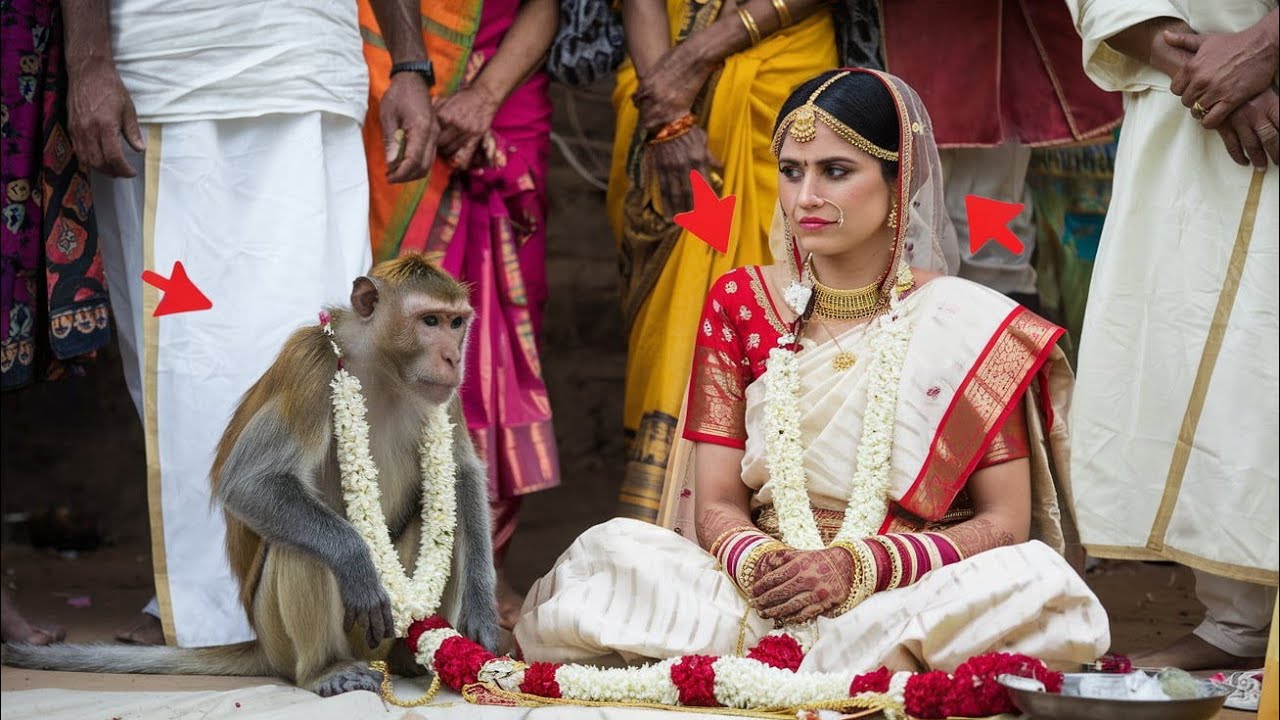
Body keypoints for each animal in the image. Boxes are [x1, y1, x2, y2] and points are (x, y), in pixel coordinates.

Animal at [2, 255, 500, 697]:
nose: (453, 358)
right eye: (430, 321)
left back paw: (415, 660)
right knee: (305, 548)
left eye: (456, 323)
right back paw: (325, 668)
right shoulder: (312, 365)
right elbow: (250, 483)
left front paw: (483, 610)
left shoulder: (445, 395)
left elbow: (463, 474)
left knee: (448, 522)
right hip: (290, 638)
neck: (381, 368)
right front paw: (357, 560)